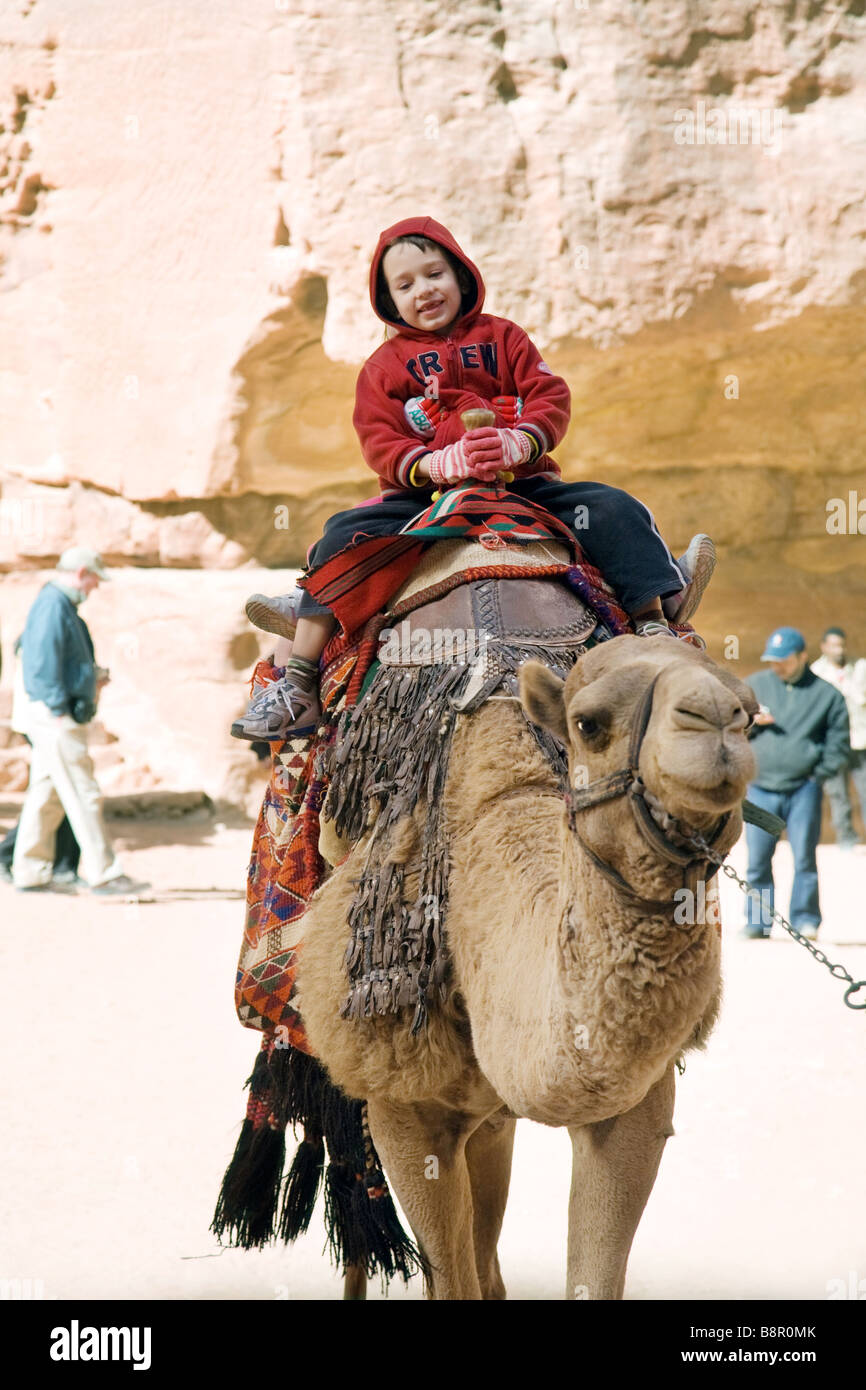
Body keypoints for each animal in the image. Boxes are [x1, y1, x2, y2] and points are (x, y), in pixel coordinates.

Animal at [295, 630, 758, 1299]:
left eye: (751, 713)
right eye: (588, 723)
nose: (715, 720)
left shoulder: (635, 1107)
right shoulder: (400, 1103)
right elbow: (449, 1280)